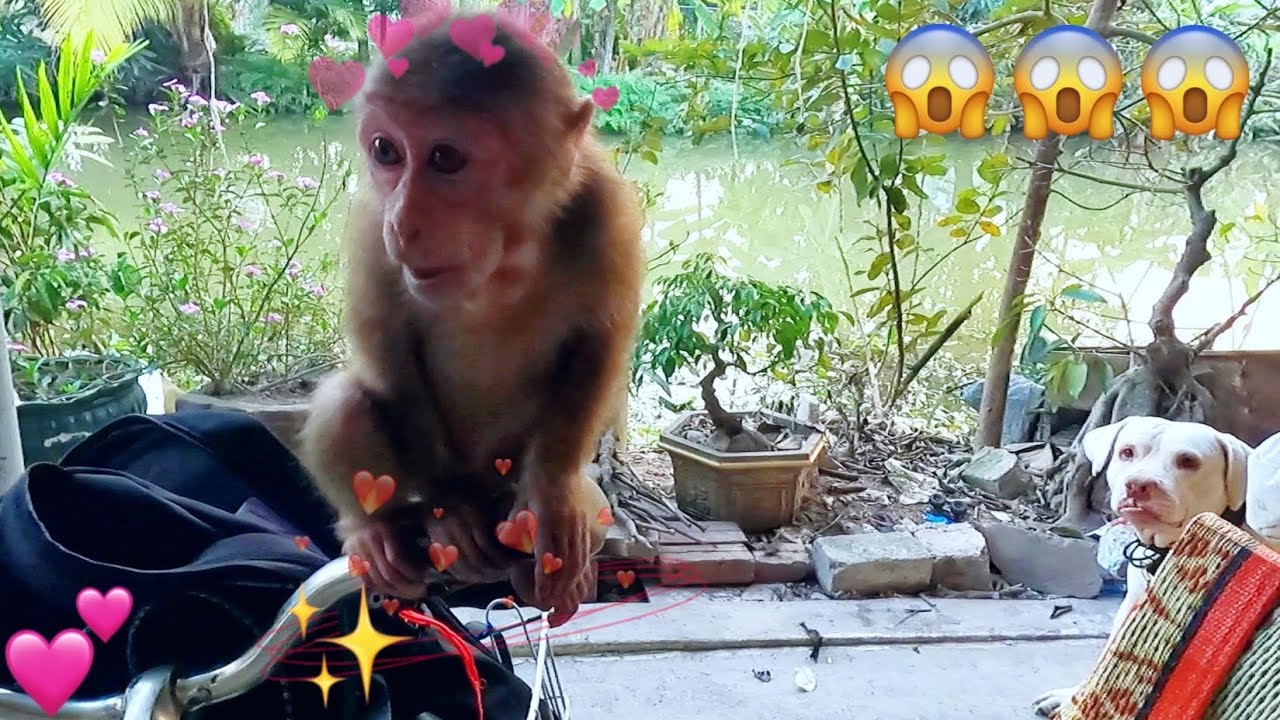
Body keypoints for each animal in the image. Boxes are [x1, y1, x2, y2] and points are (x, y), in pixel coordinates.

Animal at [298, 7, 643, 627]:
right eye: (386, 151)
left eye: (446, 158)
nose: (404, 223)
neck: (501, 258)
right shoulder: (371, 226)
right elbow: (391, 354)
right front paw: (450, 508)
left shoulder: (605, 209)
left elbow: (599, 339)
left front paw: (553, 496)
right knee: (347, 402)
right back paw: (373, 530)